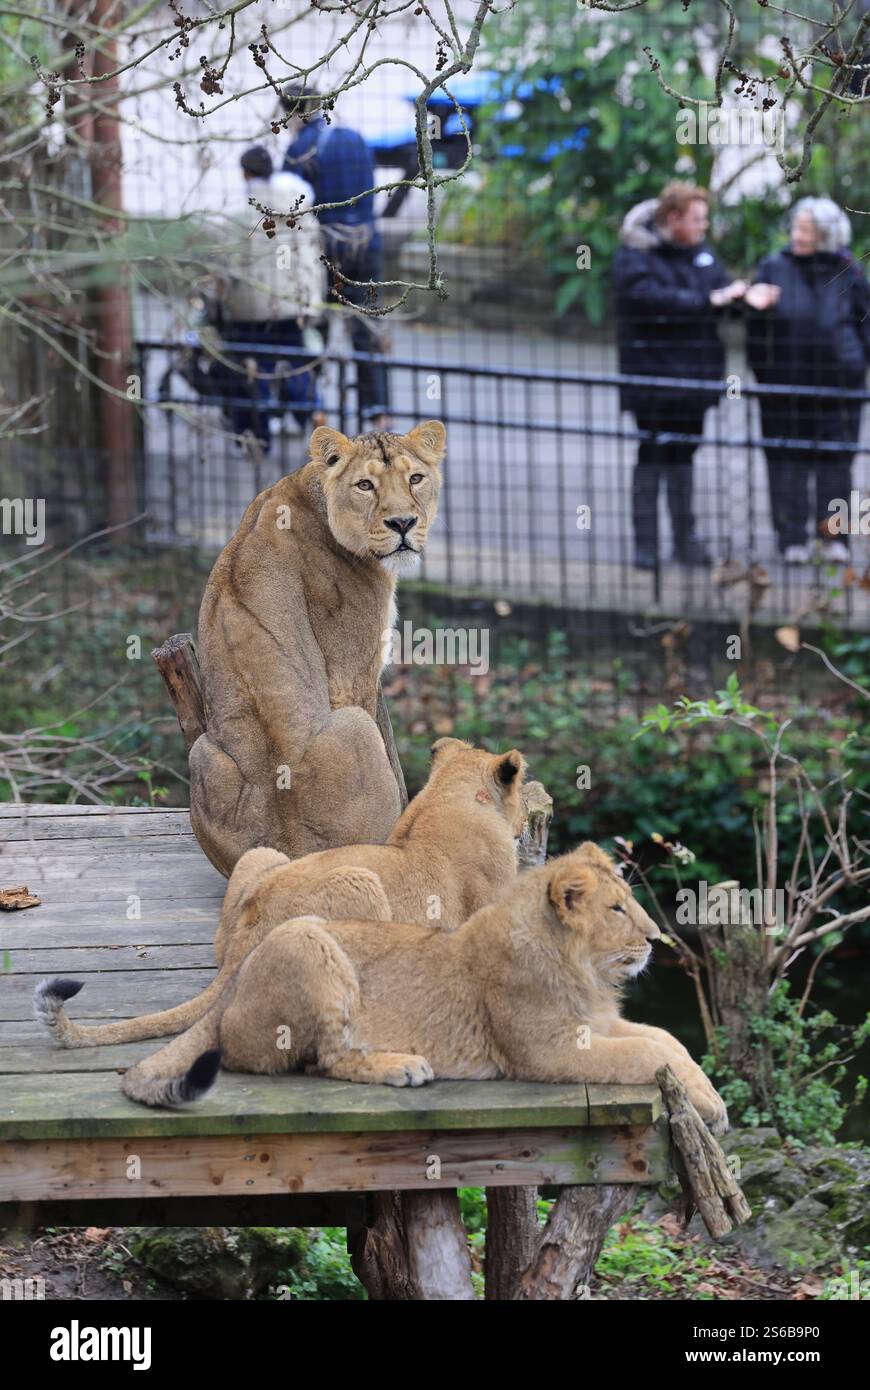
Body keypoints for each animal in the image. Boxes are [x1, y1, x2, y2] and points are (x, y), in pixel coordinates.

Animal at [115, 842, 728, 1134]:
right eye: (617, 909)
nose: (653, 939)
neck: (587, 972)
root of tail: (232, 986)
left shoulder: (599, 1023)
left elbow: (668, 1041)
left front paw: (712, 1100)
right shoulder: (547, 1052)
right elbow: (648, 1052)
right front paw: (709, 1104)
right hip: (309, 942)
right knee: (326, 1059)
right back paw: (403, 1067)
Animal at [188, 420, 445, 877]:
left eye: (415, 478)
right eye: (365, 485)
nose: (402, 522)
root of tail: (294, 852)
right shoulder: (353, 672)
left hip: (200, 753)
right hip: (353, 727)